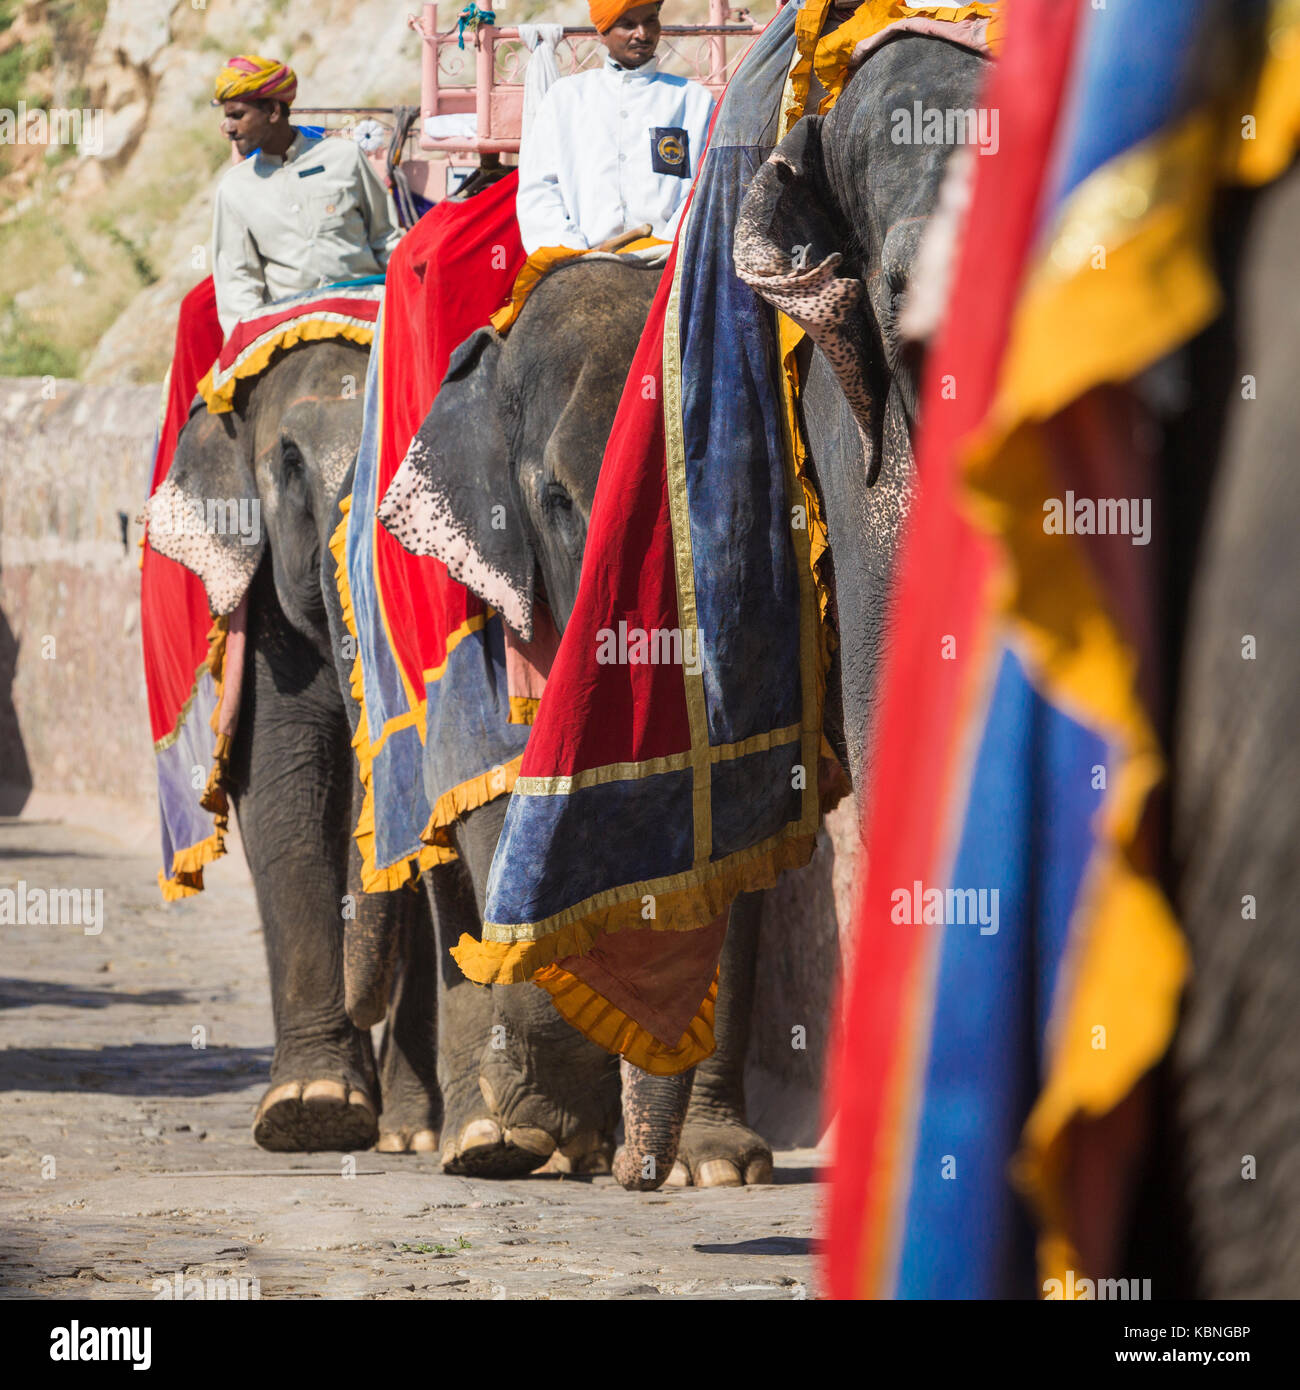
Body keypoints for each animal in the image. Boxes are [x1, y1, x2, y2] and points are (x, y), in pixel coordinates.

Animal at [373, 254, 774, 1190]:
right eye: (555, 500)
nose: (638, 1172)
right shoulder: (484, 611)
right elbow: (500, 802)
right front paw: (525, 1129)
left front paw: (718, 1167)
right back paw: (482, 1139)